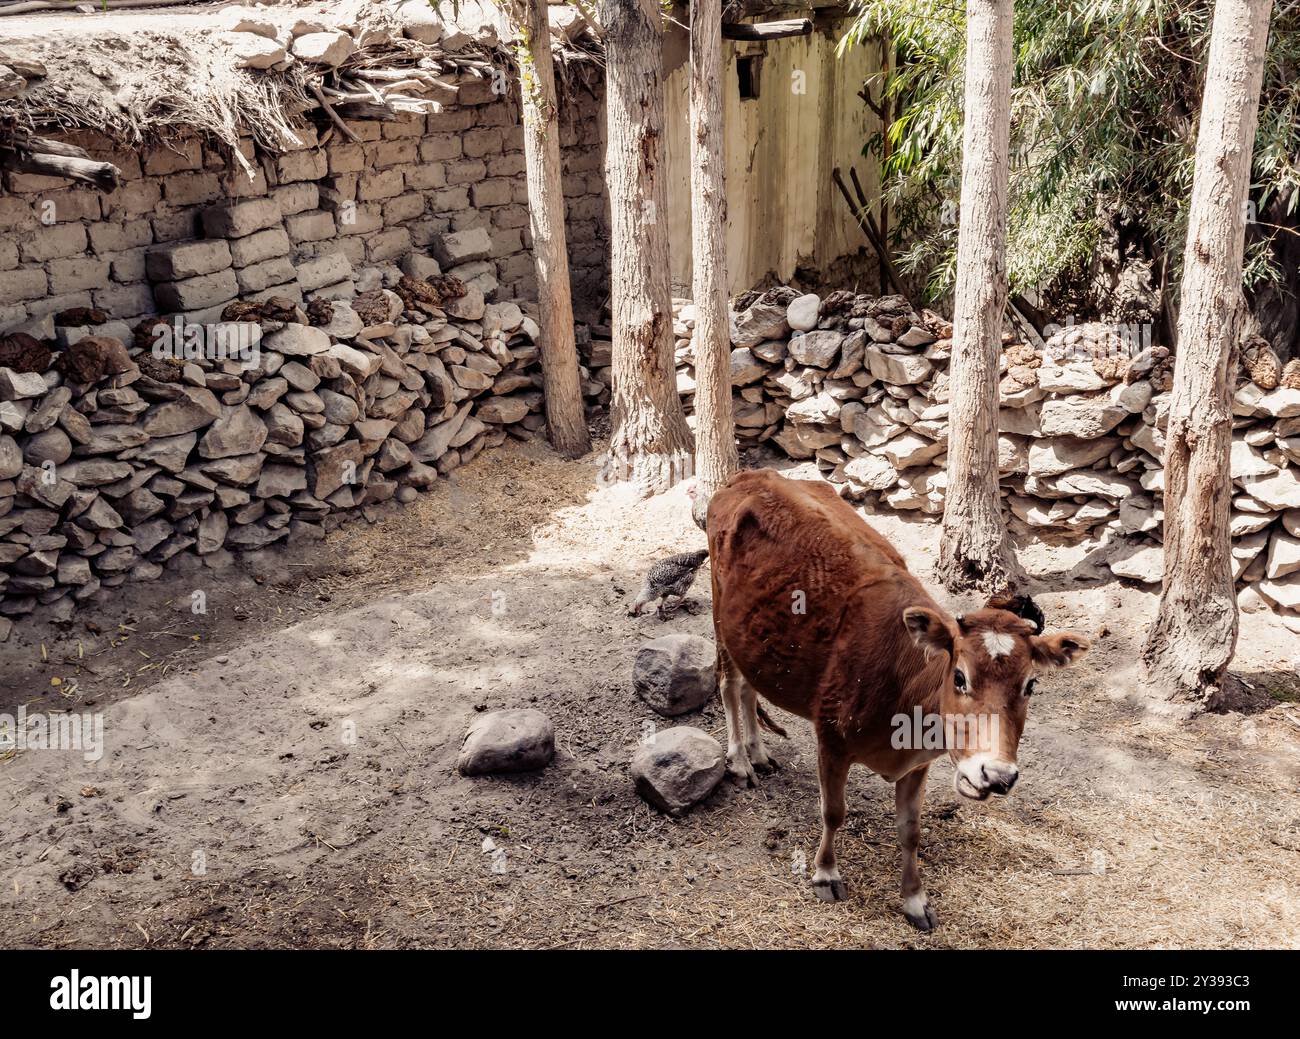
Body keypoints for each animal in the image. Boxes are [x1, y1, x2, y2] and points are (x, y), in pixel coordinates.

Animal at [706, 469, 1088, 930]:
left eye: (1030, 685)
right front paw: (826, 875)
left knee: (748, 686)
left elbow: (910, 829)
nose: (996, 775)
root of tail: (751, 475)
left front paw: (915, 900)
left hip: (751, 639)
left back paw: (759, 754)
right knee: (729, 685)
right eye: (959, 676)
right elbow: (833, 811)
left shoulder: (918, 764)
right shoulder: (830, 739)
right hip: (720, 615)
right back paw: (740, 762)